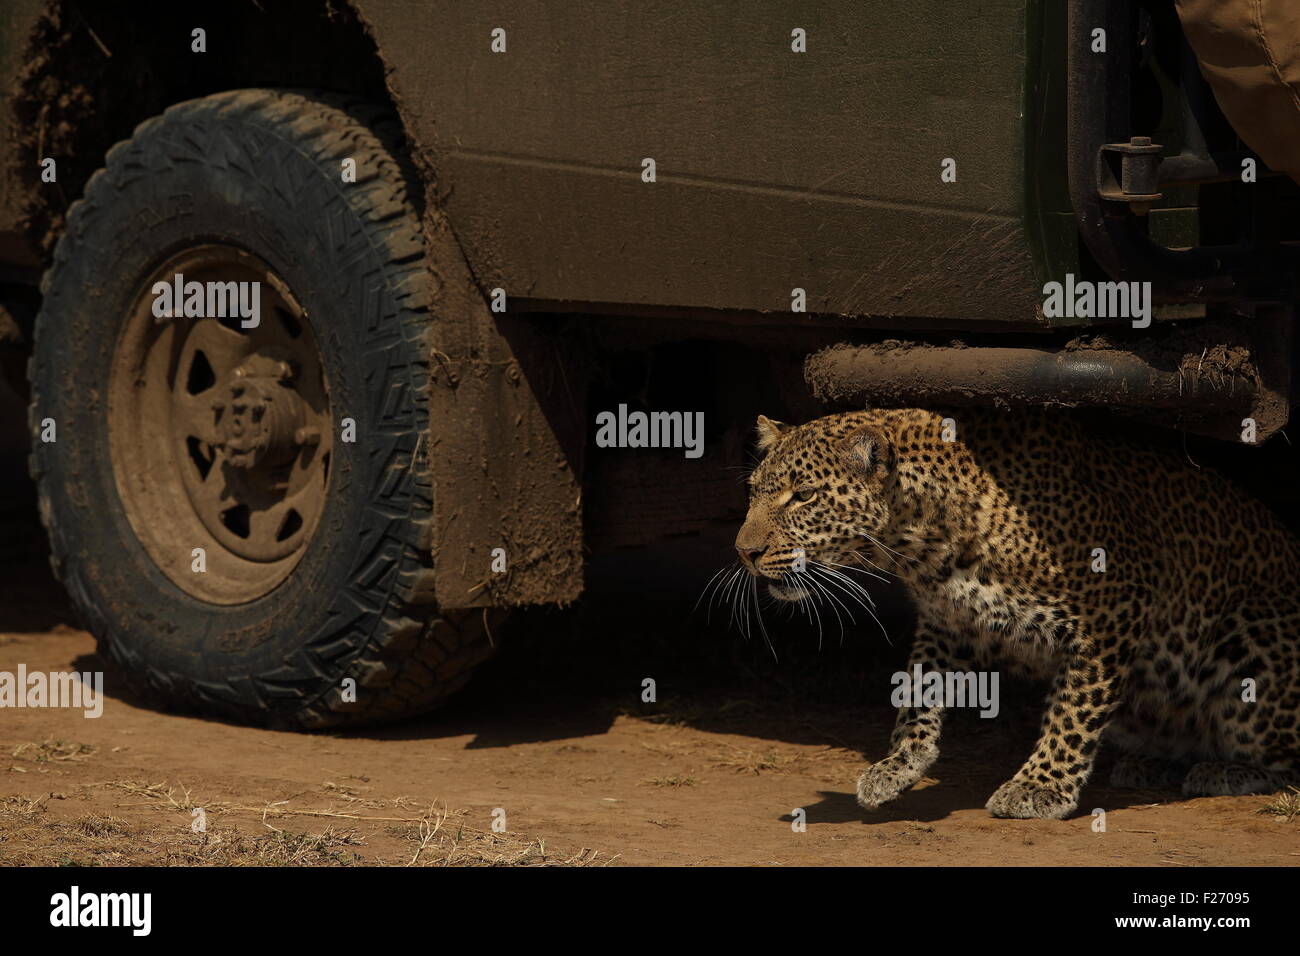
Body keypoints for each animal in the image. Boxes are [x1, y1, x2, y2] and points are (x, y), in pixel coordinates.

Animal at [732, 407, 1300, 819]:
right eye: (754, 492)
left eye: (803, 496)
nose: (744, 552)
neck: (921, 544)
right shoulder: (945, 620)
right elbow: (916, 690)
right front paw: (899, 765)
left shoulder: (1116, 606)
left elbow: (1074, 708)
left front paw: (1040, 787)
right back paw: (1151, 763)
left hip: (1251, 643)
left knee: (1287, 758)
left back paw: (1221, 771)